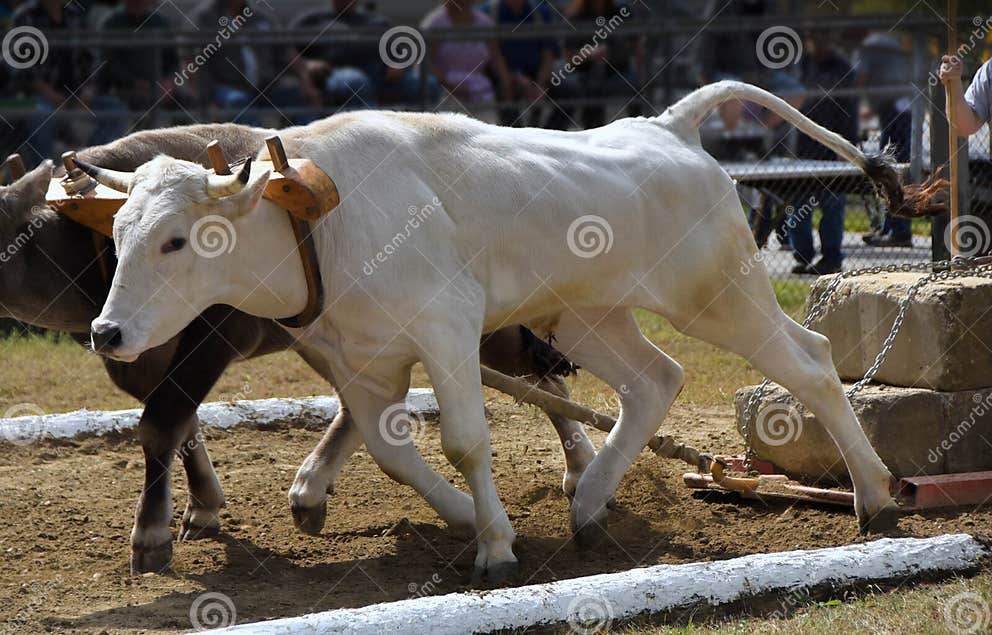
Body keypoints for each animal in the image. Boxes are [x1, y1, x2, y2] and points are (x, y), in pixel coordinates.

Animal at [0, 125, 596, 574]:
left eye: (174, 241)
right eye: (119, 231)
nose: (104, 332)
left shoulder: (214, 334)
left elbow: (161, 424)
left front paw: (150, 536)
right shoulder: (144, 356)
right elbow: (180, 424)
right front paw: (203, 504)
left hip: (485, 329)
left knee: (546, 379)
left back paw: (581, 467)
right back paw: (311, 491)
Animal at [79, 81, 942, 582]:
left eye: (178, 240)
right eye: (117, 233)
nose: (107, 331)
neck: (315, 221)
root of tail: (667, 126)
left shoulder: (447, 327)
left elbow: (464, 438)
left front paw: (494, 545)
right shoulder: (360, 363)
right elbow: (392, 451)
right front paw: (467, 519)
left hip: (719, 297)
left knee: (812, 363)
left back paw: (875, 495)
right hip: (589, 315)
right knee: (653, 380)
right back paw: (588, 503)